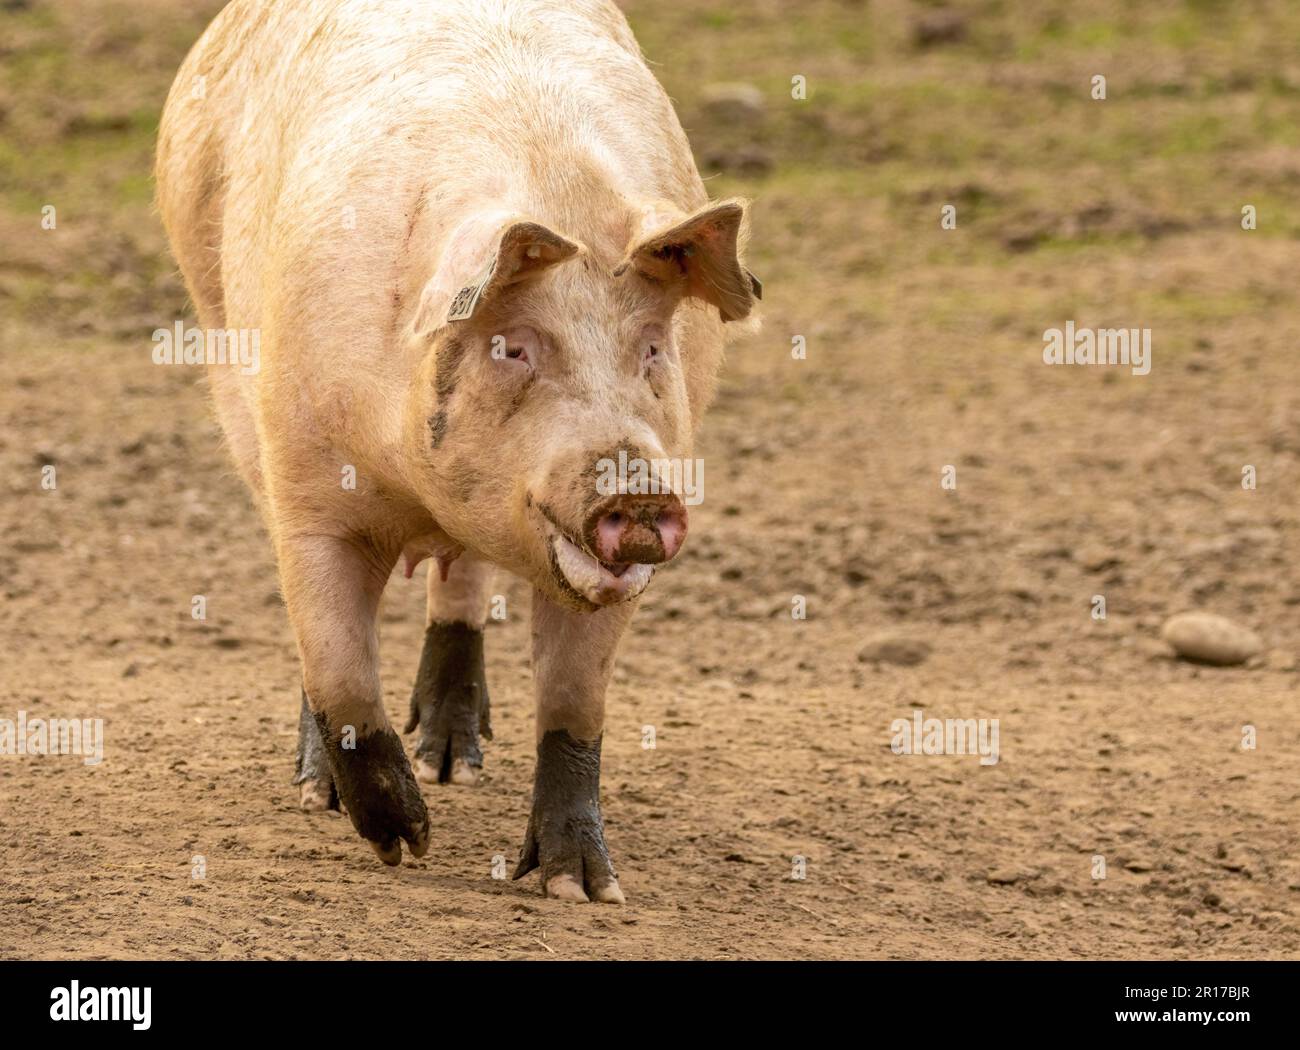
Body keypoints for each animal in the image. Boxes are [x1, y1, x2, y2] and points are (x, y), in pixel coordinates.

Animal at [155, 0, 759, 903]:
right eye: (511, 347)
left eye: (653, 348)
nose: (639, 489)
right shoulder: (307, 482)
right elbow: (339, 668)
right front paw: (406, 842)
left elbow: (576, 707)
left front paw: (583, 890)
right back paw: (332, 791)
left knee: (464, 582)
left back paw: (455, 764)